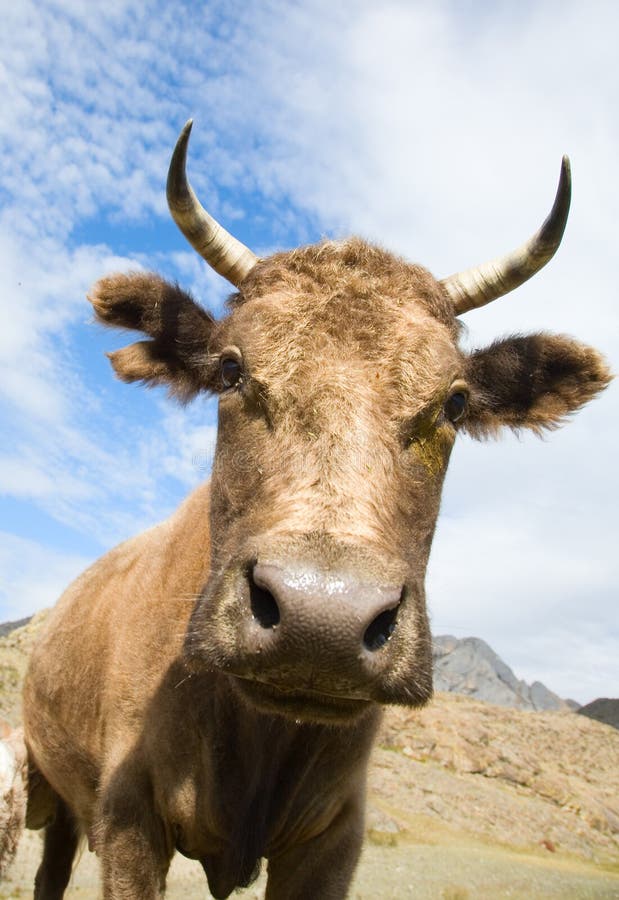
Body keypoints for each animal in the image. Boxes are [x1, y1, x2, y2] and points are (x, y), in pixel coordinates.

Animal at [5, 121, 610, 899]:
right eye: (230, 369)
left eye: (454, 402)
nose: (319, 621)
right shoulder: (126, 816)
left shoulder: (335, 839)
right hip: (53, 793)